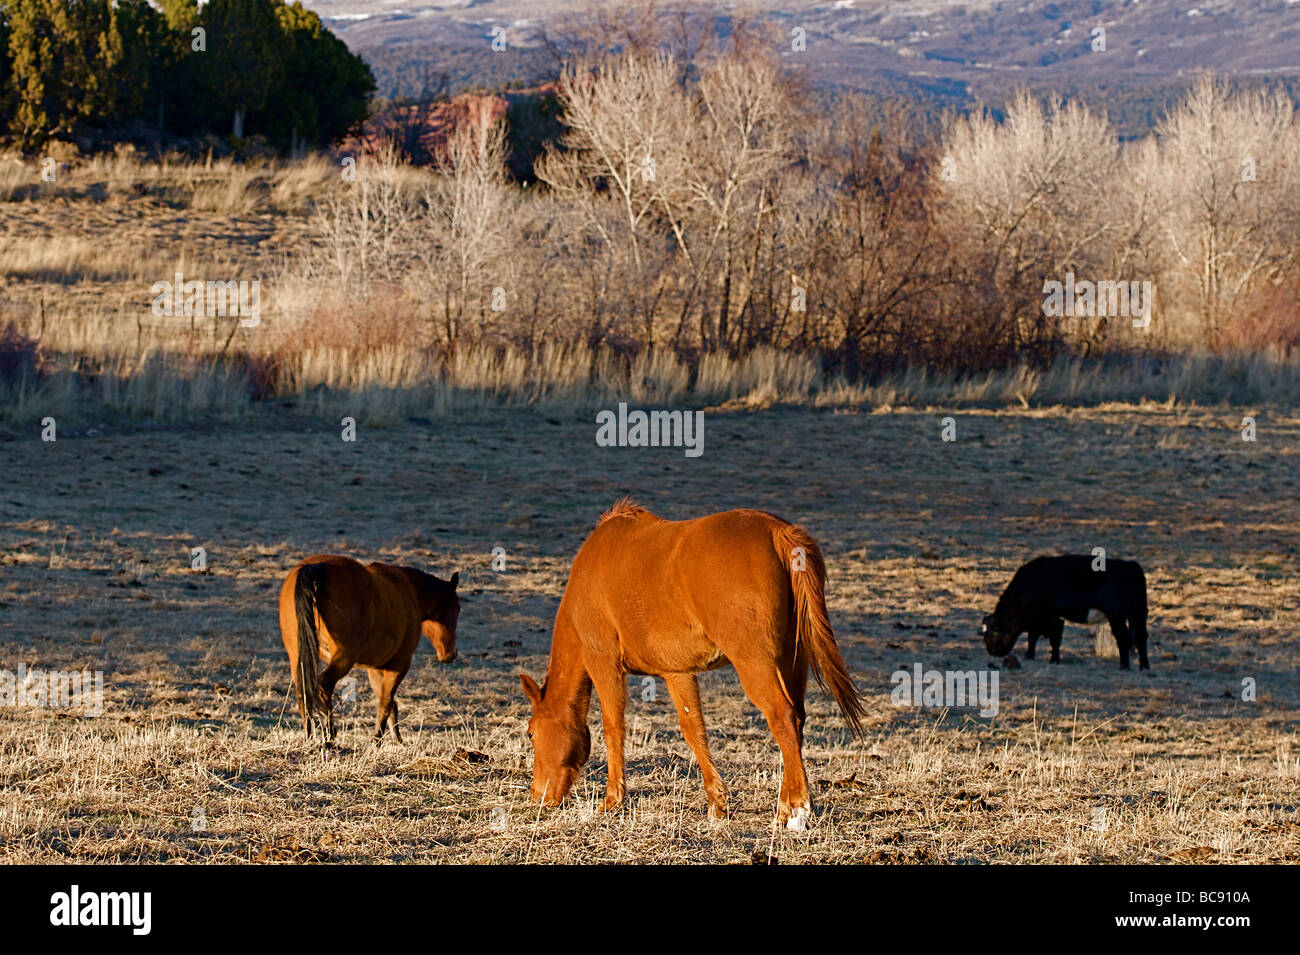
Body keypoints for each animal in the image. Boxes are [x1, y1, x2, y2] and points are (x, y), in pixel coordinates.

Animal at [278, 554, 460, 743]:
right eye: (458, 609)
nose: (450, 654)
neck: (411, 592)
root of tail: (314, 567)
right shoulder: (399, 664)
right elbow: (386, 703)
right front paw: (377, 740)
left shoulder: (375, 669)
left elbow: (389, 702)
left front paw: (396, 739)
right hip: (344, 657)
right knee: (323, 685)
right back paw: (330, 734)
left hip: (298, 656)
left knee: (303, 692)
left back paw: (309, 736)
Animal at [519, 500, 865, 827]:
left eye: (531, 734)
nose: (537, 796)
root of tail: (776, 531)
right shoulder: (677, 673)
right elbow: (694, 730)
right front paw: (717, 804)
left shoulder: (604, 663)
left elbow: (613, 726)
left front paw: (612, 800)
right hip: (792, 660)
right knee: (798, 719)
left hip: (756, 662)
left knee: (783, 718)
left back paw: (794, 810)